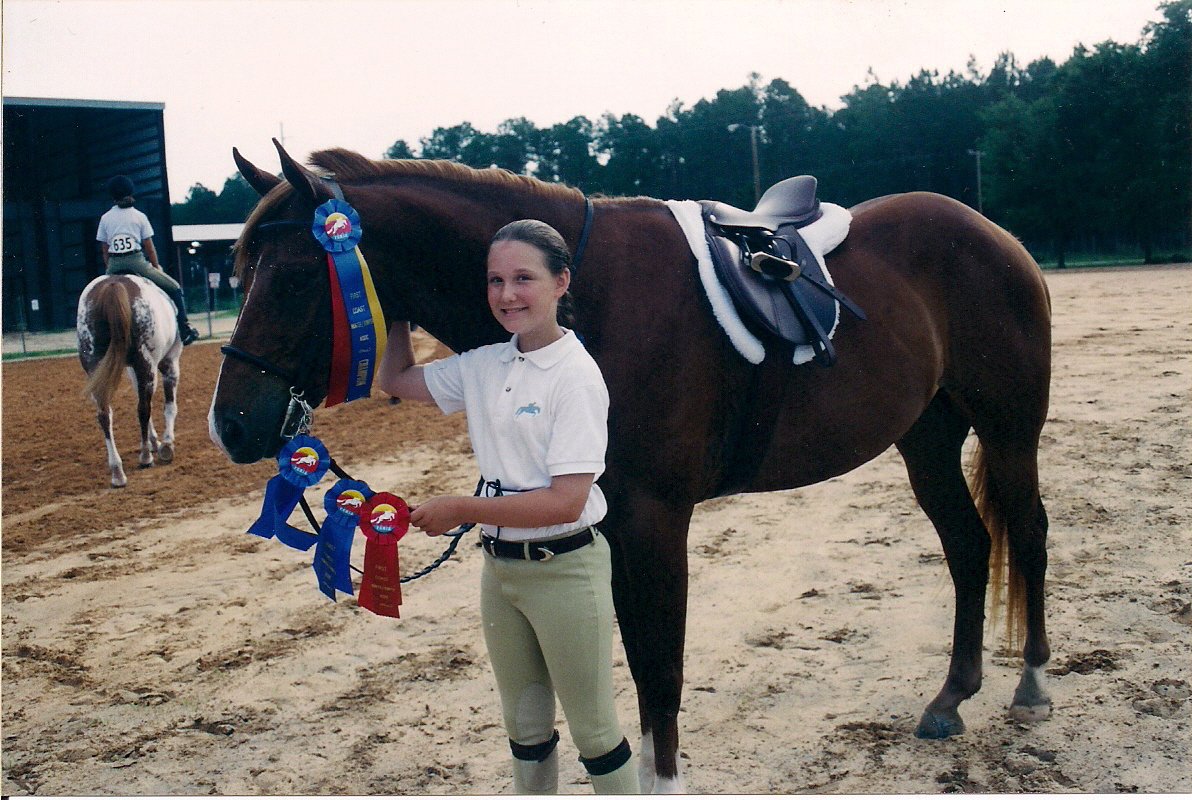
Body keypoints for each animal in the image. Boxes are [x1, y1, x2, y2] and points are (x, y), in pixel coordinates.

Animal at [77, 274, 182, 488]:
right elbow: (169, 406)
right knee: (143, 409)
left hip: (95, 366)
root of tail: (113, 286)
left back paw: (117, 471)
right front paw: (166, 445)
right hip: (146, 364)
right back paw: (145, 458)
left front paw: (155, 442)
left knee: (104, 415)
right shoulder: (169, 363)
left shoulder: (135, 371)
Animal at [209, 140, 1053, 793]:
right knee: (969, 545)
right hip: (927, 438)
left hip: (1010, 431)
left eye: (292, 278)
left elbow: (658, 670)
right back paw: (952, 695)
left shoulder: (653, 519)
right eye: (239, 274)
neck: (587, 299)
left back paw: (1033, 682)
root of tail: (992, 232)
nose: (230, 424)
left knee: (1029, 535)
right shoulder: (614, 520)